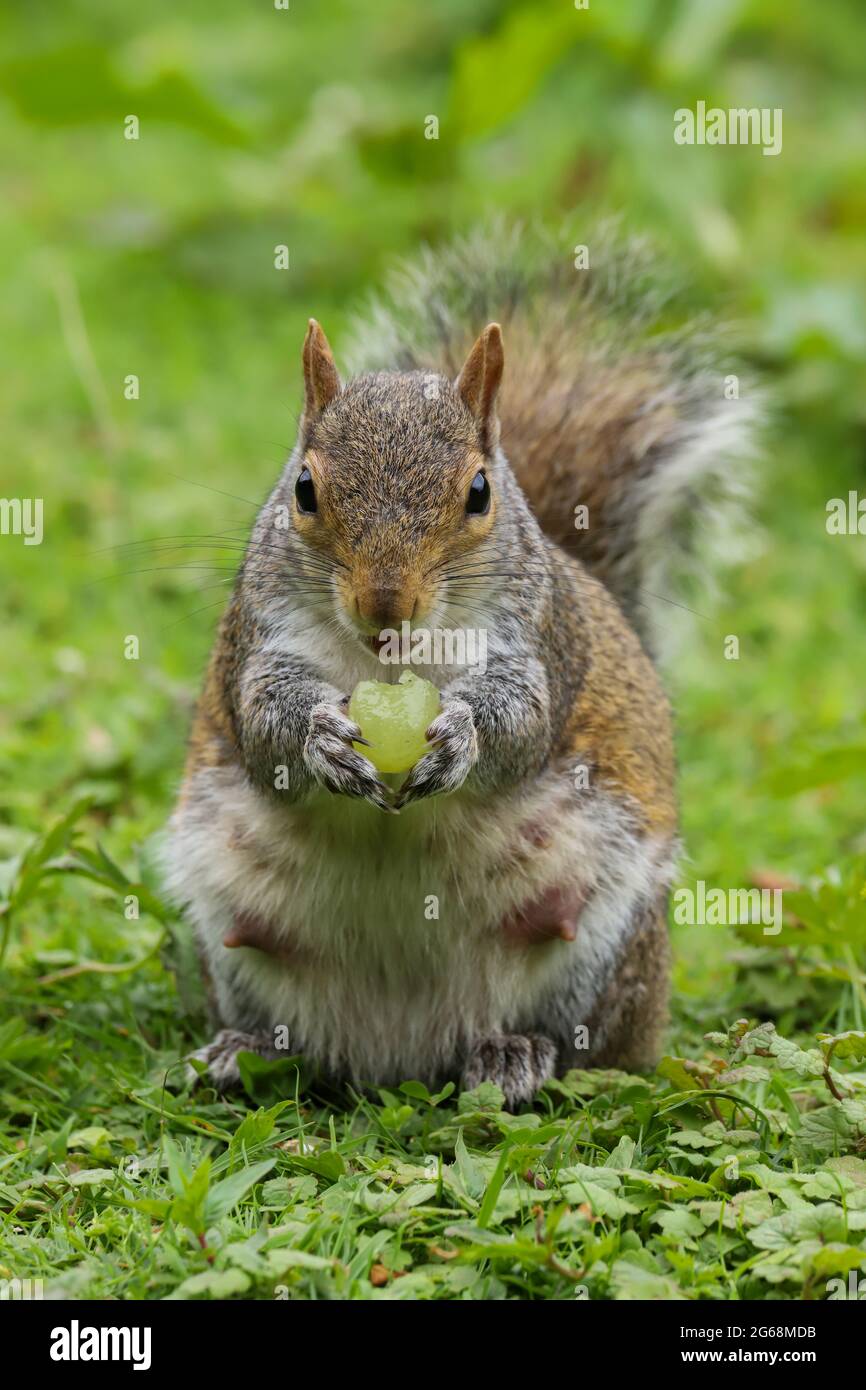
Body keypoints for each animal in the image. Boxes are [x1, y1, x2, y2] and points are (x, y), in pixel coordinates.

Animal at [162, 224, 754, 1107]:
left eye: (478, 491)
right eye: (303, 488)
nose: (386, 605)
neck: (393, 665)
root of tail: (394, 1053)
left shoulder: (543, 643)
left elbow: (523, 722)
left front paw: (464, 736)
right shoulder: (256, 644)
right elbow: (264, 725)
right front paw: (320, 737)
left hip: (606, 943)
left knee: (583, 1044)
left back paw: (515, 1055)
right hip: (230, 931)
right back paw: (244, 1050)